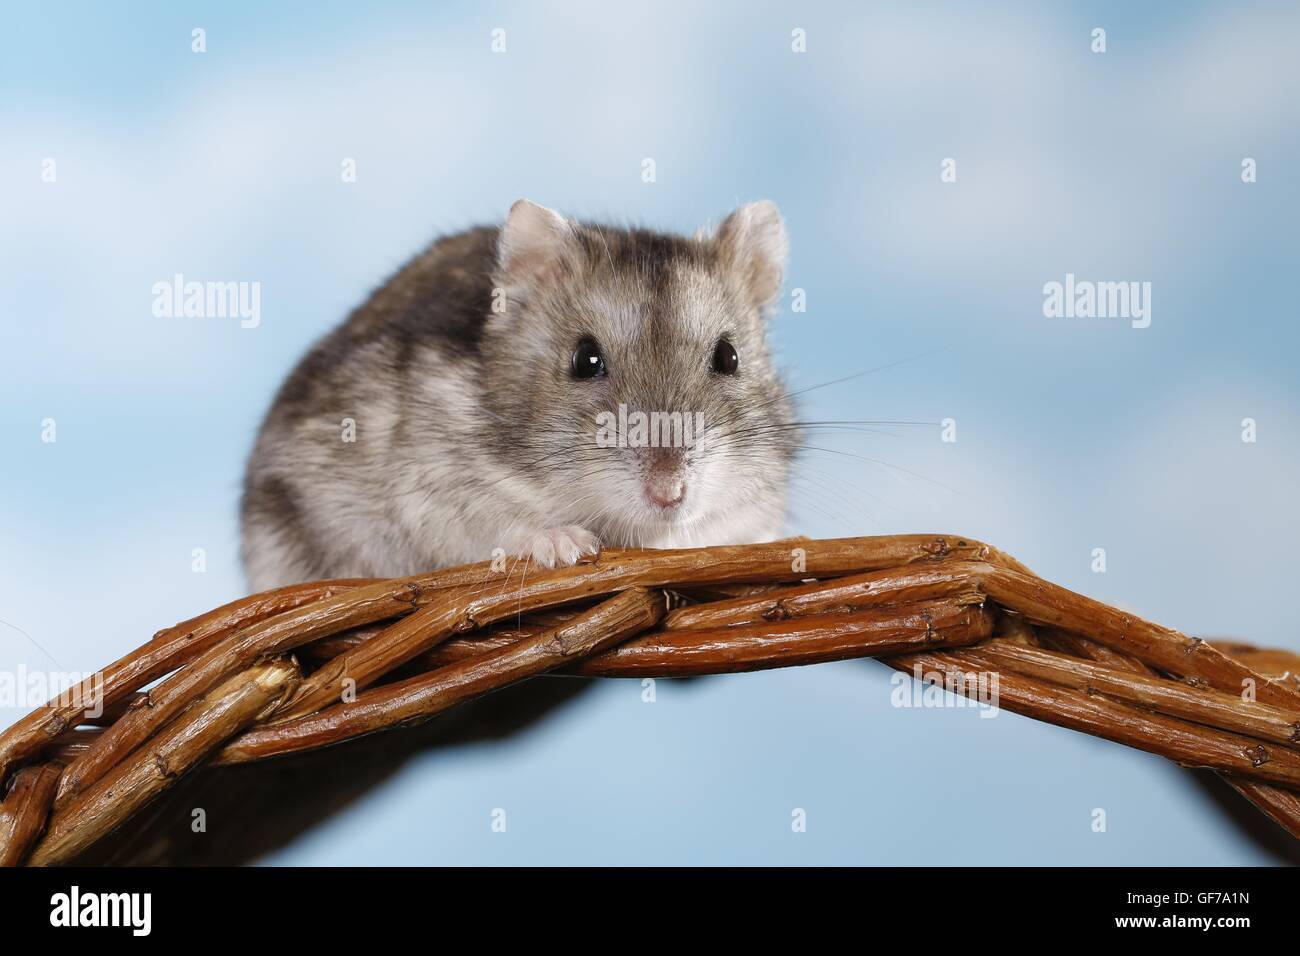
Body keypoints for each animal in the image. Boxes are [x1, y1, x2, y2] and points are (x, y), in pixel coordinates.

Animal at [240, 199, 797, 591]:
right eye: (584, 359)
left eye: (728, 357)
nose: (669, 495)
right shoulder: (433, 492)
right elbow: (500, 525)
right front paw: (567, 547)